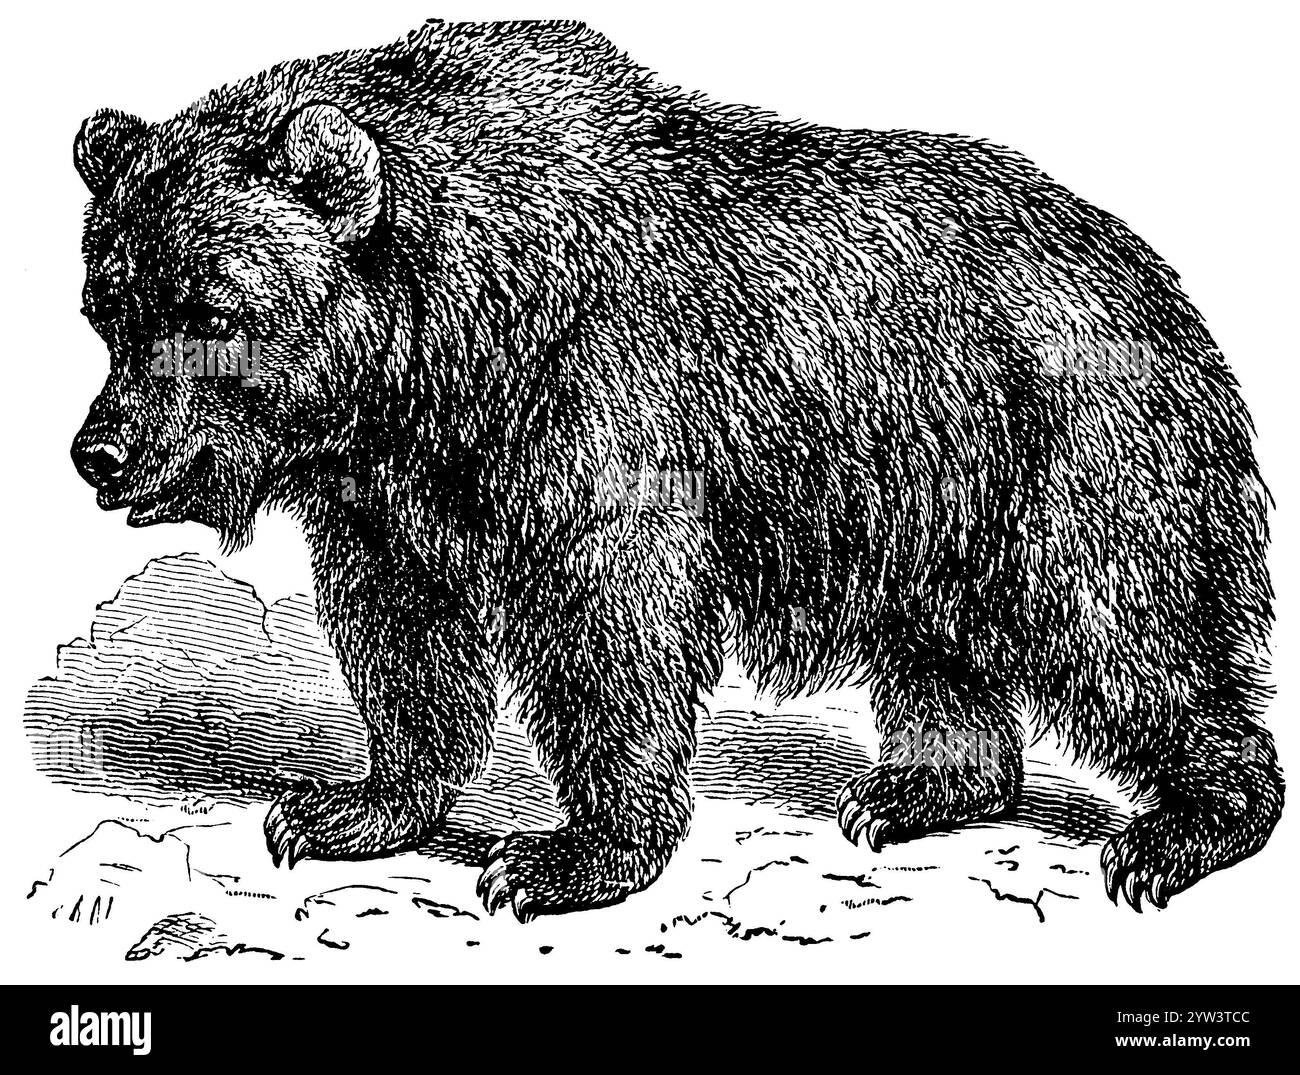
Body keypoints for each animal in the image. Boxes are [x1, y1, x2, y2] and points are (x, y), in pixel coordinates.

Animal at [70, 18, 1282, 919]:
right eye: (111, 307)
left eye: (214, 309)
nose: (101, 451)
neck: (447, 359)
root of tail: (1164, 289)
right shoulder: (386, 490)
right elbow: (401, 634)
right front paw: (344, 806)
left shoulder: (598, 410)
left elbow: (610, 625)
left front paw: (563, 856)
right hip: (920, 490)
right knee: (938, 646)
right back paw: (911, 788)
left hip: (1071, 448)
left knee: (1124, 633)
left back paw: (1182, 827)